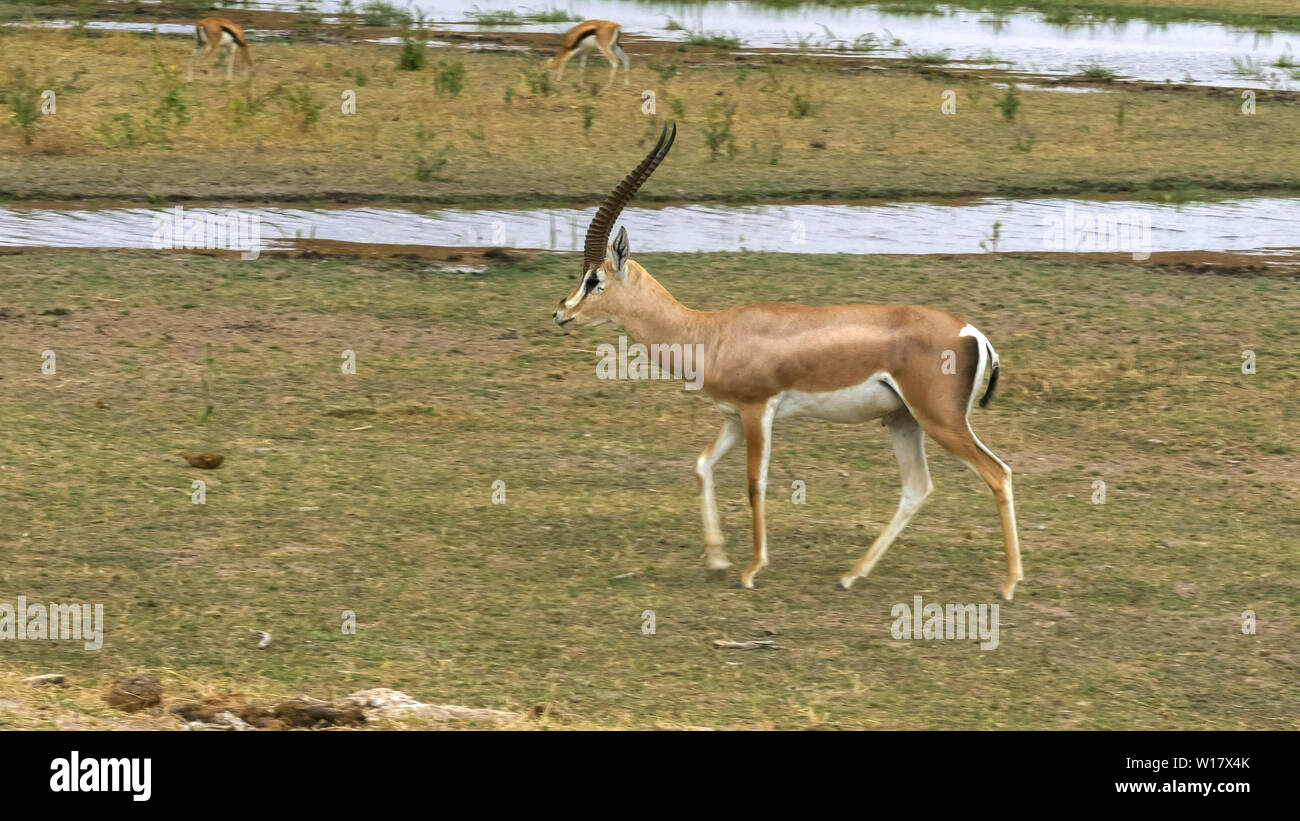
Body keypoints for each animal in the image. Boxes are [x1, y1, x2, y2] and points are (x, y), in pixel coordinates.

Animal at [552, 124, 1024, 599]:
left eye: (593, 279)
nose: (560, 313)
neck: (711, 332)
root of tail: (973, 333)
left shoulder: (758, 411)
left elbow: (754, 483)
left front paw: (750, 570)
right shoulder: (733, 417)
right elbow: (702, 466)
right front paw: (718, 560)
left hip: (940, 421)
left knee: (998, 473)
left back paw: (1008, 584)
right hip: (904, 421)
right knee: (917, 487)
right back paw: (851, 575)